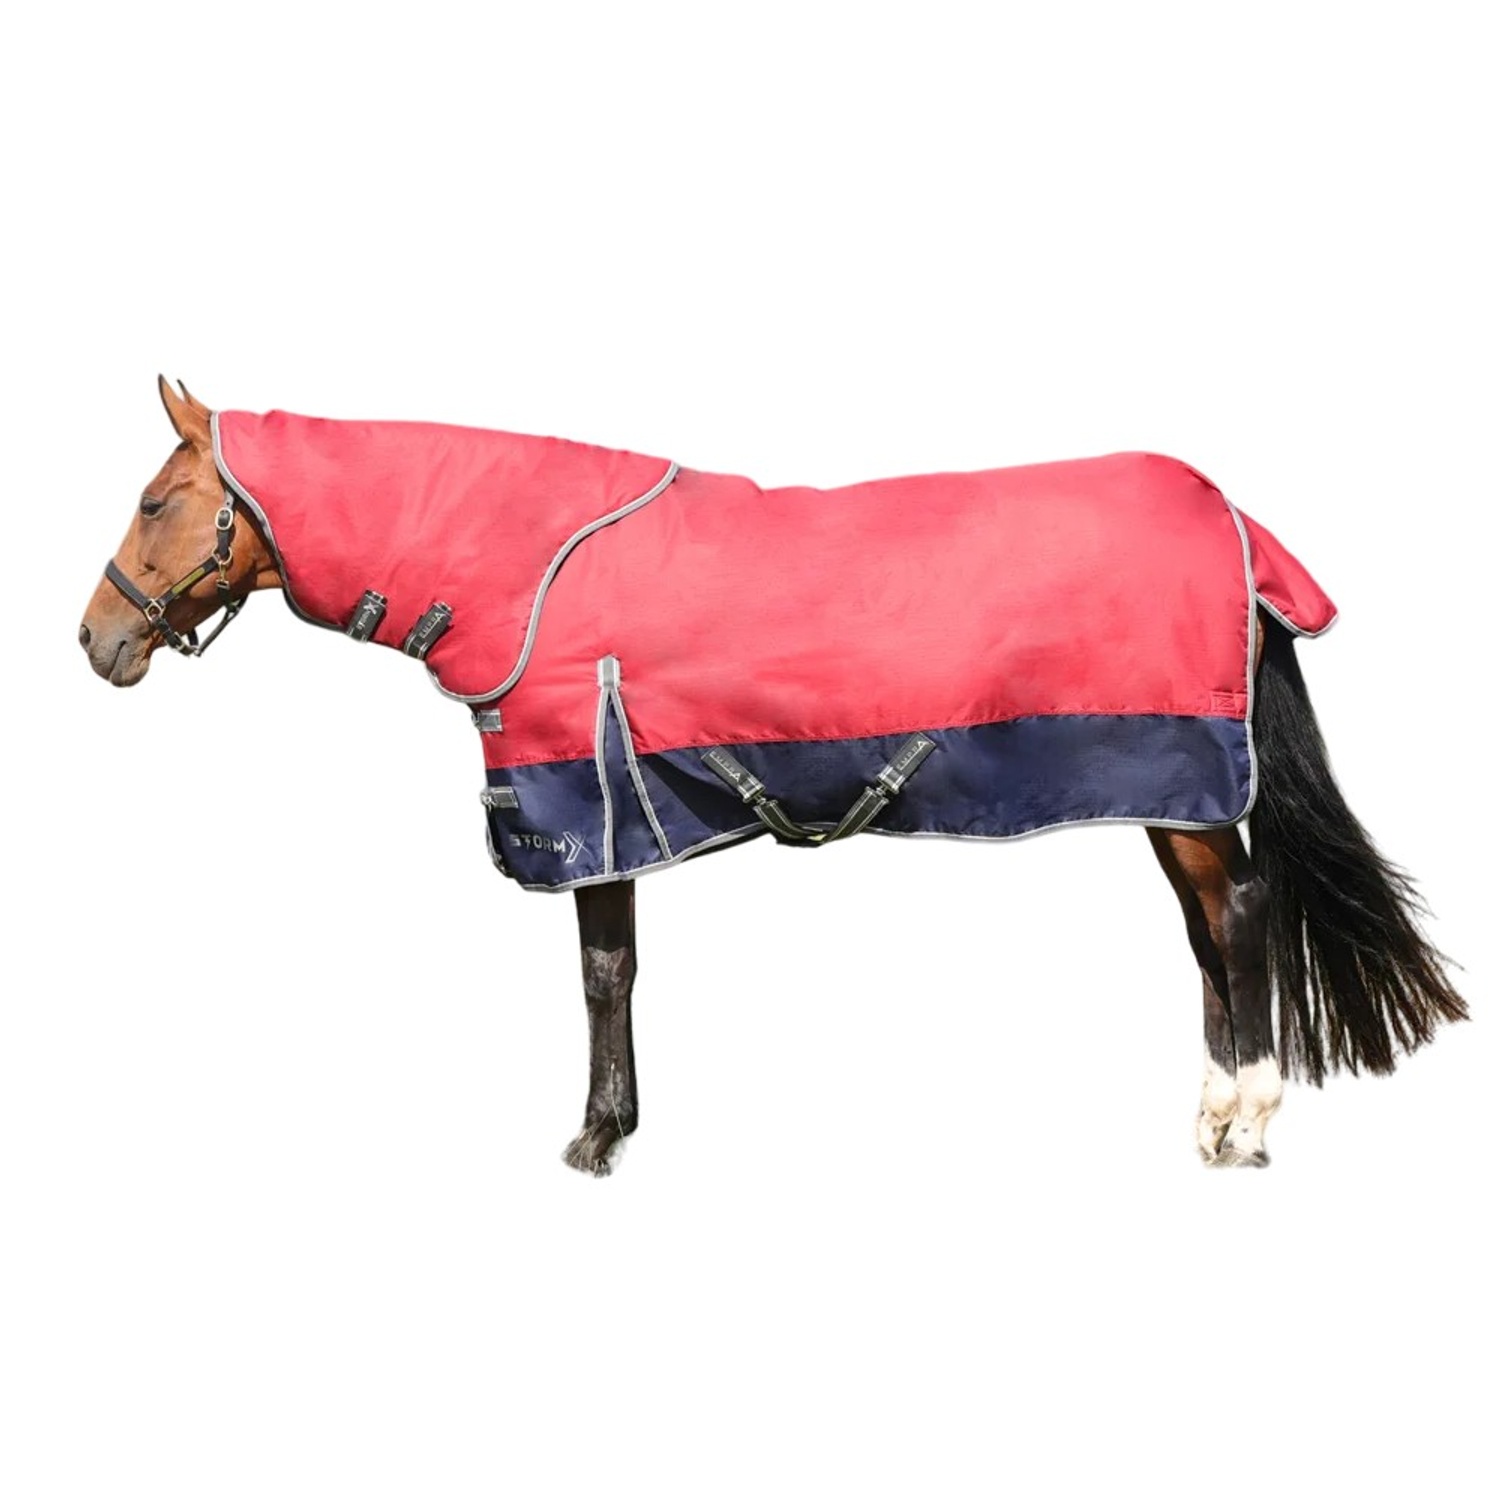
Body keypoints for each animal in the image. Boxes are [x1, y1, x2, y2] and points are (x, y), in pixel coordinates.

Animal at [79, 377, 1468, 1174]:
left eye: (152, 501)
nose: (96, 642)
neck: (532, 563)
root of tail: (1235, 520)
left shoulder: (591, 805)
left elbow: (604, 974)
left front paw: (597, 1137)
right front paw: (618, 1124)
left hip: (1184, 784)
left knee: (1241, 916)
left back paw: (1243, 1120)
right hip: (1168, 797)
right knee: (1209, 928)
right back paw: (1219, 1110)